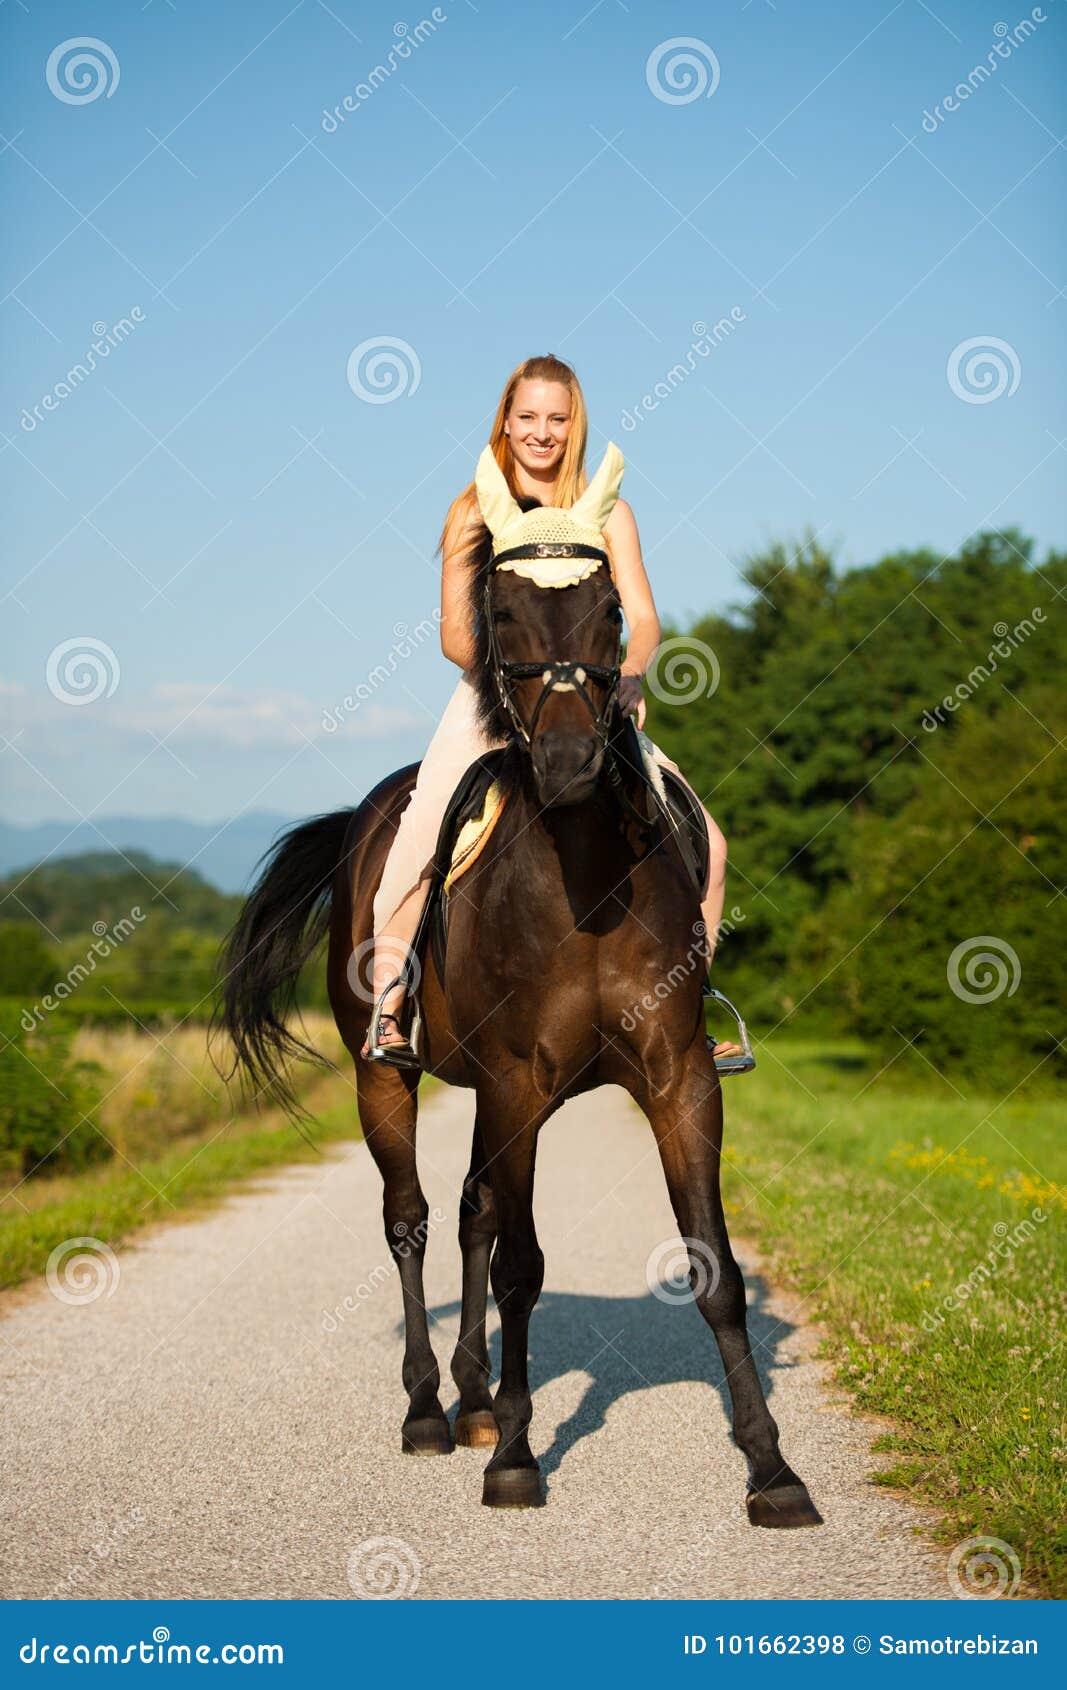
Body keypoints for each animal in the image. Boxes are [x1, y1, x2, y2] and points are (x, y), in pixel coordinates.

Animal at [215, 520, 820, 1527]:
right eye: (499, 615)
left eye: (611, 611)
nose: (569, 762)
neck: (586, 880)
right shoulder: (518, 1083)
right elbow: (522, 1268)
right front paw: (518, 1461)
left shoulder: (678, 1078)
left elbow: (714, 1266)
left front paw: (771, 1470)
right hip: (389, 1077)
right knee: (412, 1219)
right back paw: (429, 1408)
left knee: (471, 1212)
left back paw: (474, 1400)